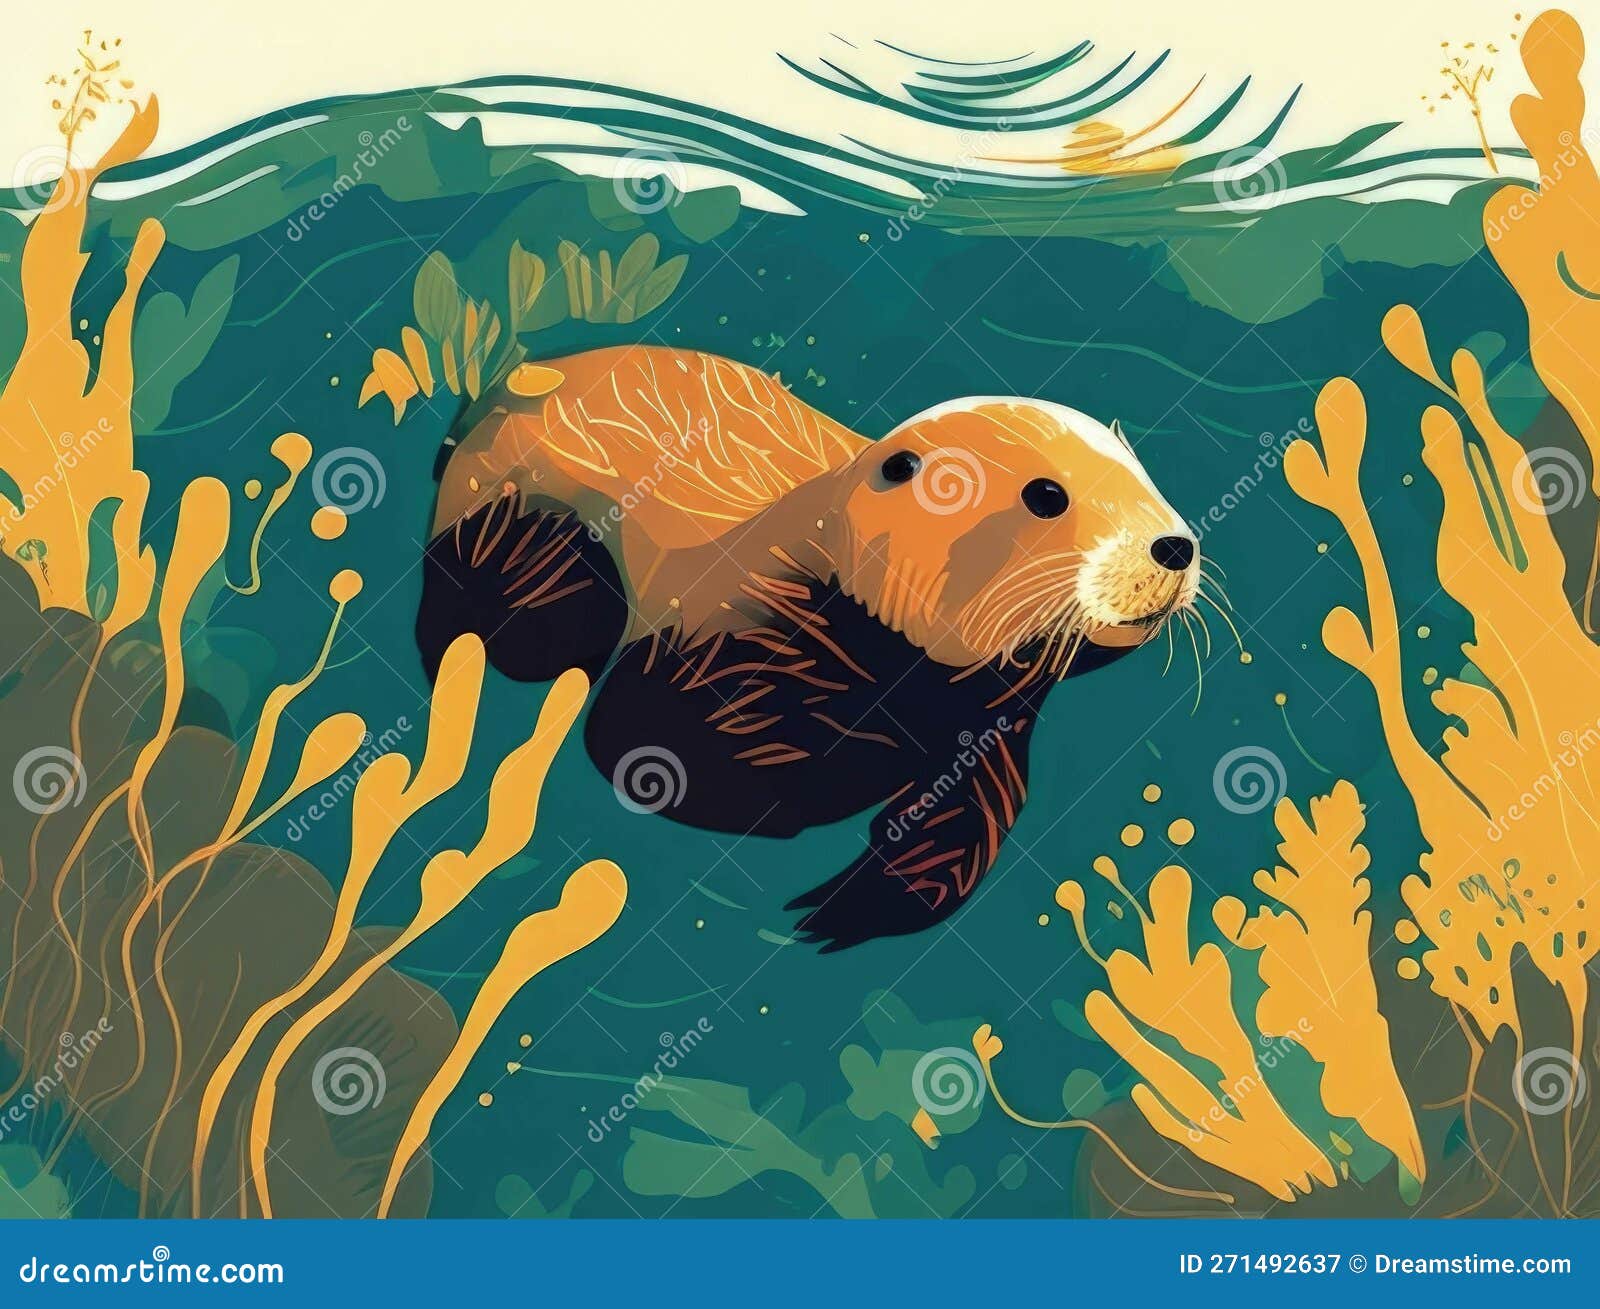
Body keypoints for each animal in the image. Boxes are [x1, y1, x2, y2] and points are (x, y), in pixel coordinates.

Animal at [416, 345, 1199, 950]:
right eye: (1045, 495)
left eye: (1144, 475)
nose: (1175, 545)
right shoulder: (721, 625)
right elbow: (646, 748)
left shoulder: (990, 726)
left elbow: (962, 823)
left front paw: (853, 904)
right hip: (518, 517)